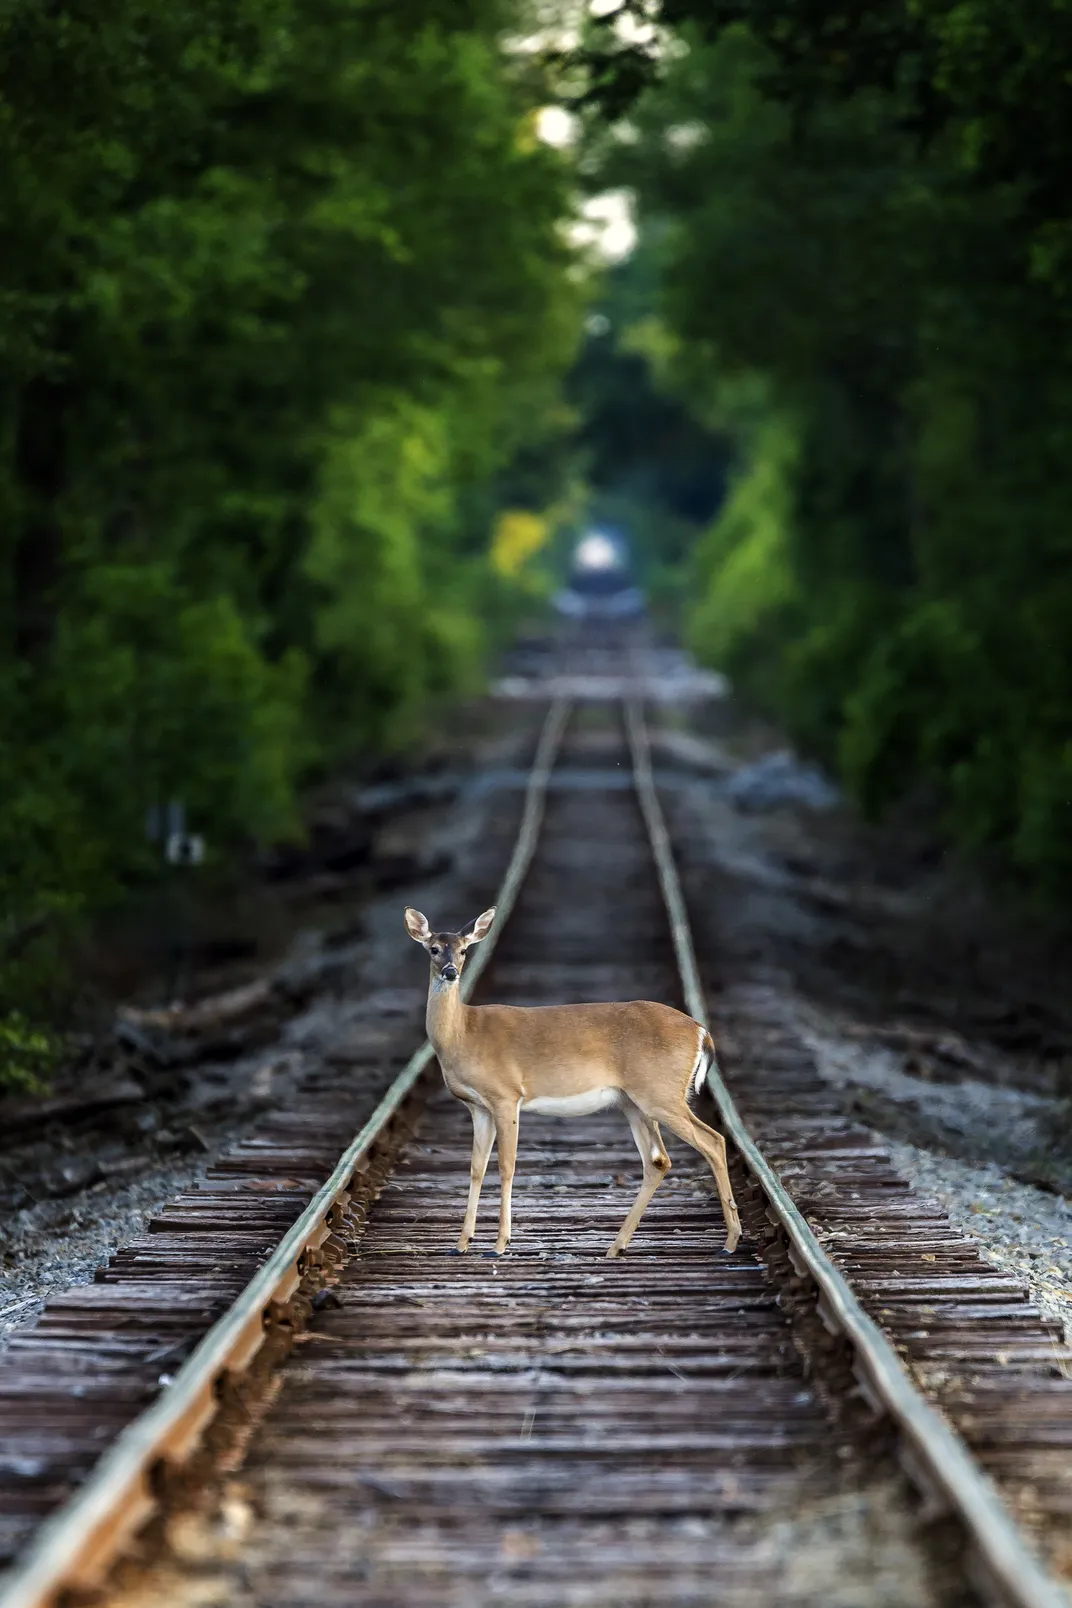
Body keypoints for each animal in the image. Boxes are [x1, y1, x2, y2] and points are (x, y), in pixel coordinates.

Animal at [404, 906, 742, 1258]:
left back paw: (729, 1243)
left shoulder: (505, 1095)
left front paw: (499, 1245)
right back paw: (616, 1246)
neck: (463, 1033)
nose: (450, 972)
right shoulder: (478, 1106)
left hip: (660, 1094)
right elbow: (476, 1168)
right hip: (633, 1102)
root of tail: (701, 1031)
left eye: (464, 950)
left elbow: (506, 1166)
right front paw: (461, 1244)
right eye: (434, 949)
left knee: (713, 1141)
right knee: (659, 1160)